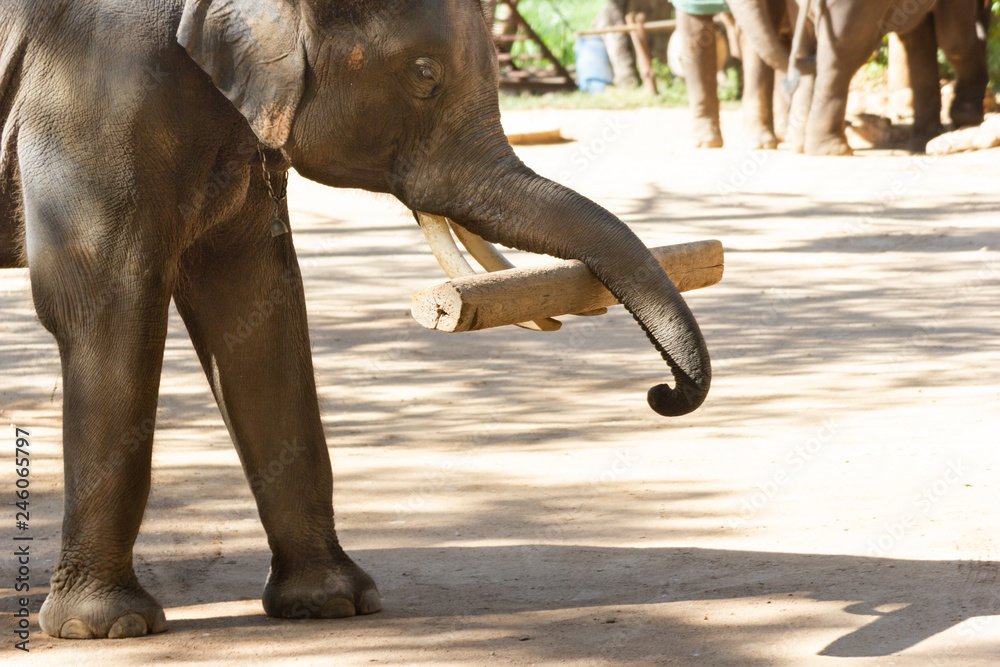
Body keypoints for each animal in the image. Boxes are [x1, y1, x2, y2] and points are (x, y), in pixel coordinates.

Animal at [0, 0, 712, 640]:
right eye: (425, 75)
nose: (663, 393)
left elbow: (256, 305)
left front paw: (334, 604)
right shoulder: (91, 97)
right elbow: (104, 305)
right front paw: (108, 627)